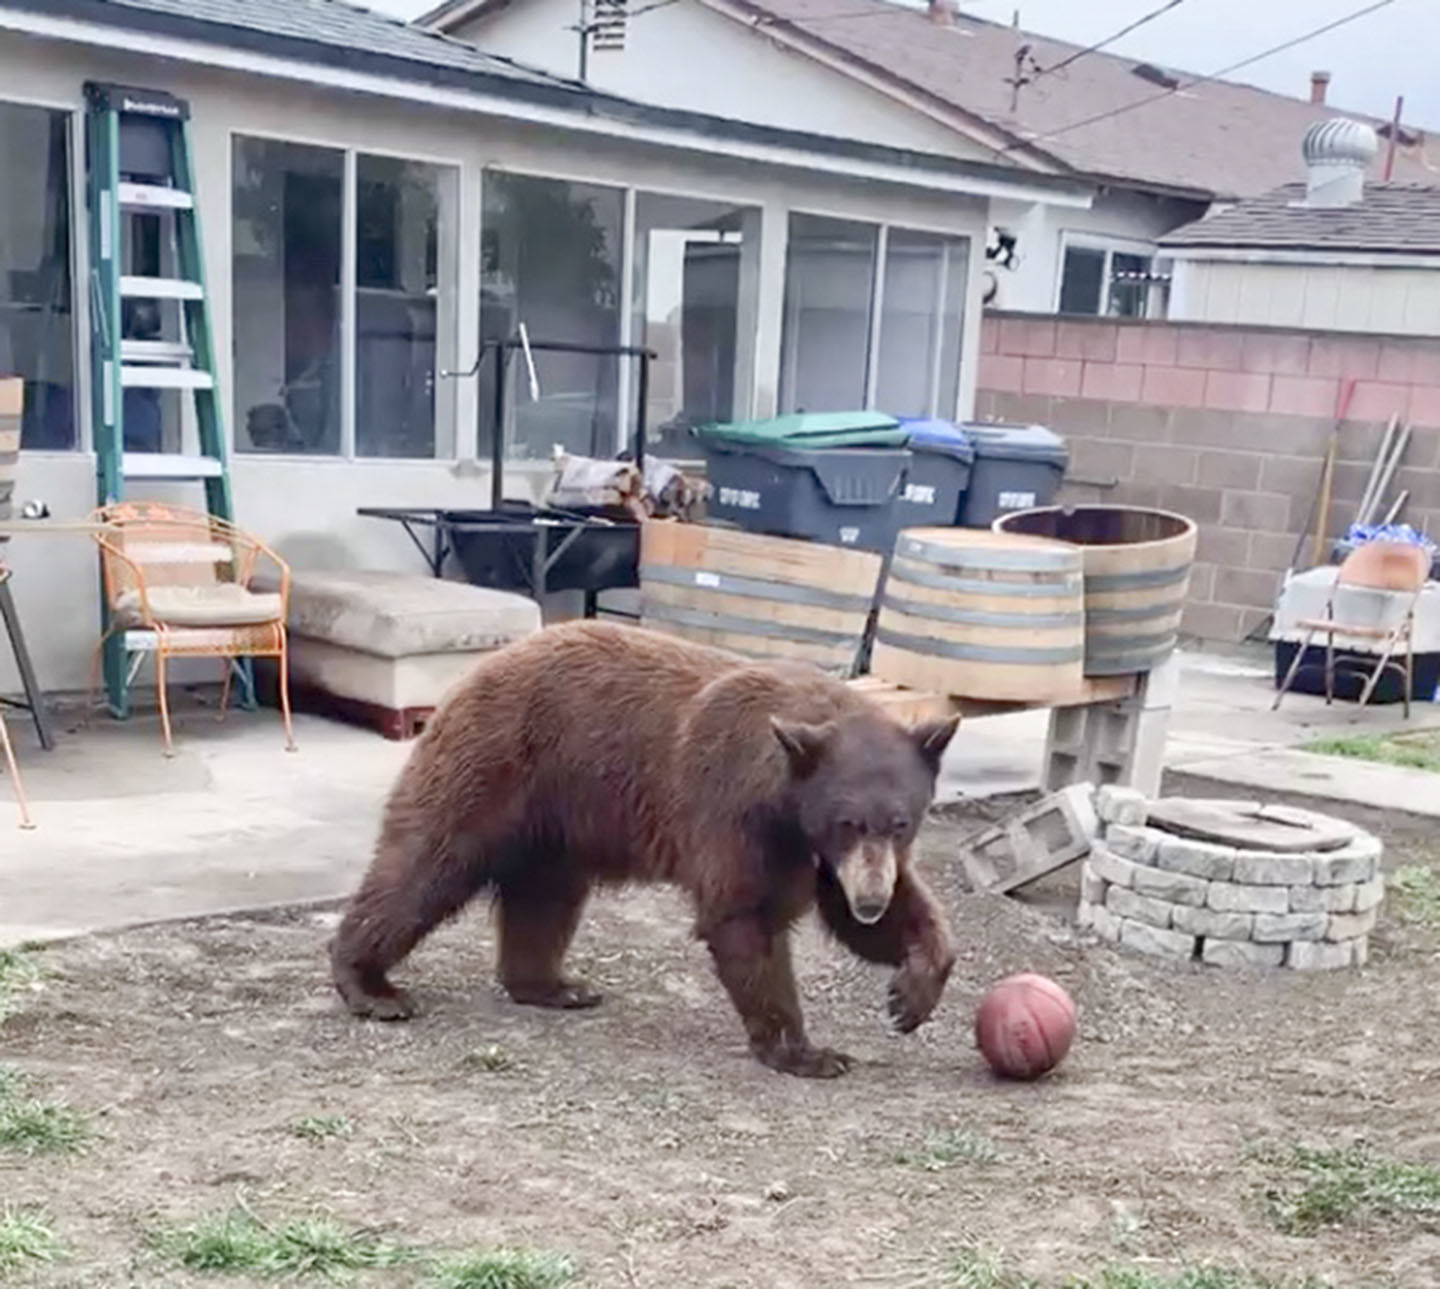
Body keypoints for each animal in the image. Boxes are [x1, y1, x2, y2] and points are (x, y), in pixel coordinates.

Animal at [329, 619, 960, 1078]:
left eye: (901, 822)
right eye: (847, 821)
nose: (871, 899)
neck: (786, 797)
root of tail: (483, 665)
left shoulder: (817, 852)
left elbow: (874, 916)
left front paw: (911, 994)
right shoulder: (736, 813)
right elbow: (745, 915)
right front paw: (807, 1052)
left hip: (556, 821)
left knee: (544, 898)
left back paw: (554, 985)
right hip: (493, 764)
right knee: (425, 864)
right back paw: (371, 986)